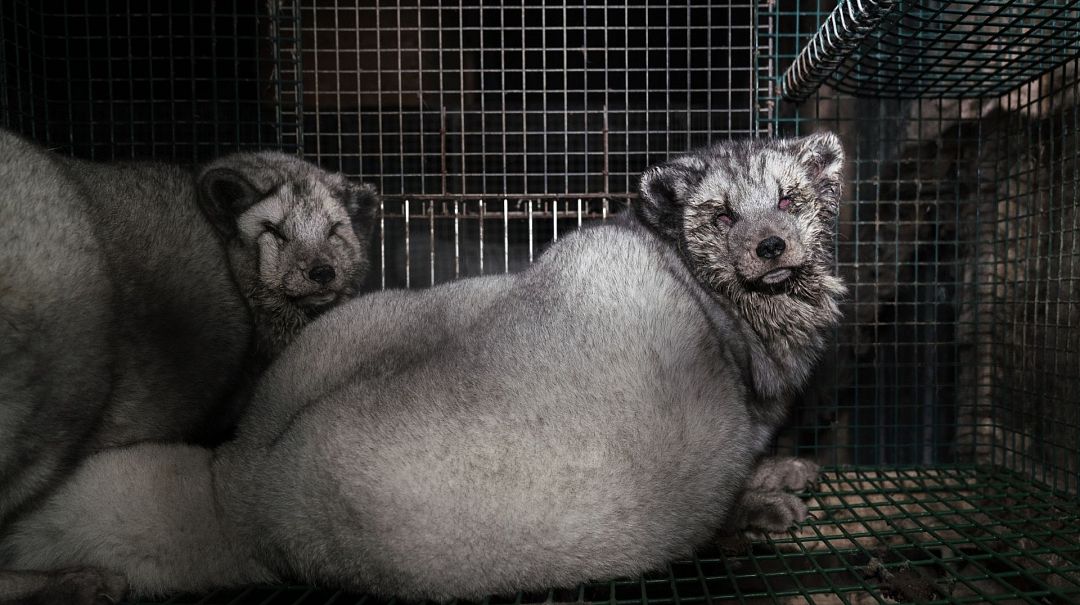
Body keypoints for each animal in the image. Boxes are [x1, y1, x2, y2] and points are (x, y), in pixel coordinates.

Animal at [1, 133, 845, 603]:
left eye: (790, 200)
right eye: (722, 215)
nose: (771, 247)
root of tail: (242, 485)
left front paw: (780, 473)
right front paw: (767, 493)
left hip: (348, 331)